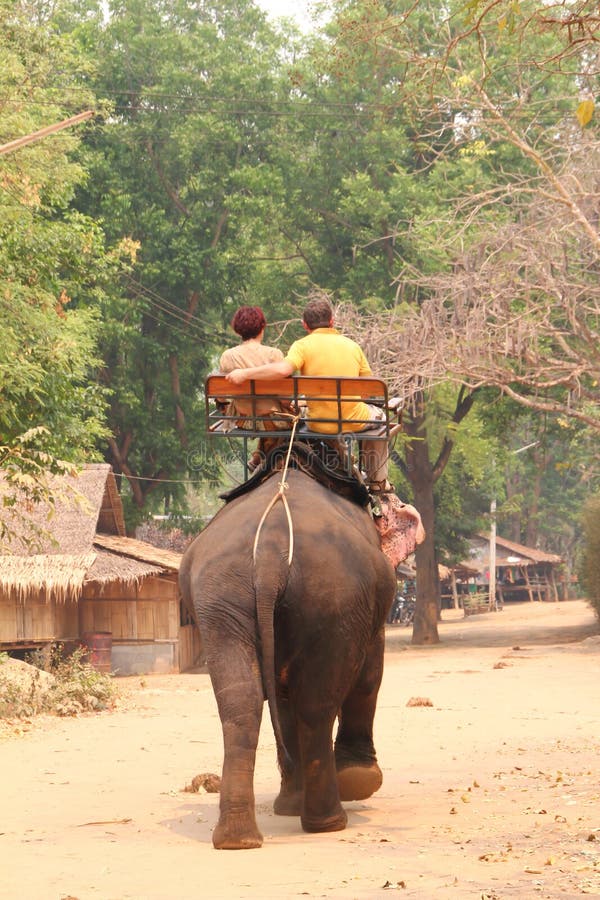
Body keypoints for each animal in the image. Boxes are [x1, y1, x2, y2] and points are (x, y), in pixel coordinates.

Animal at [179, 457, 422, 850]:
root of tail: (268, 557)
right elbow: (370, 672)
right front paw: (359, 779)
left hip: (221, 599)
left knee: (241, 702)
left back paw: (239, 838)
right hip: (334, 599)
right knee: (316, 704)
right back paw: (330, 820)